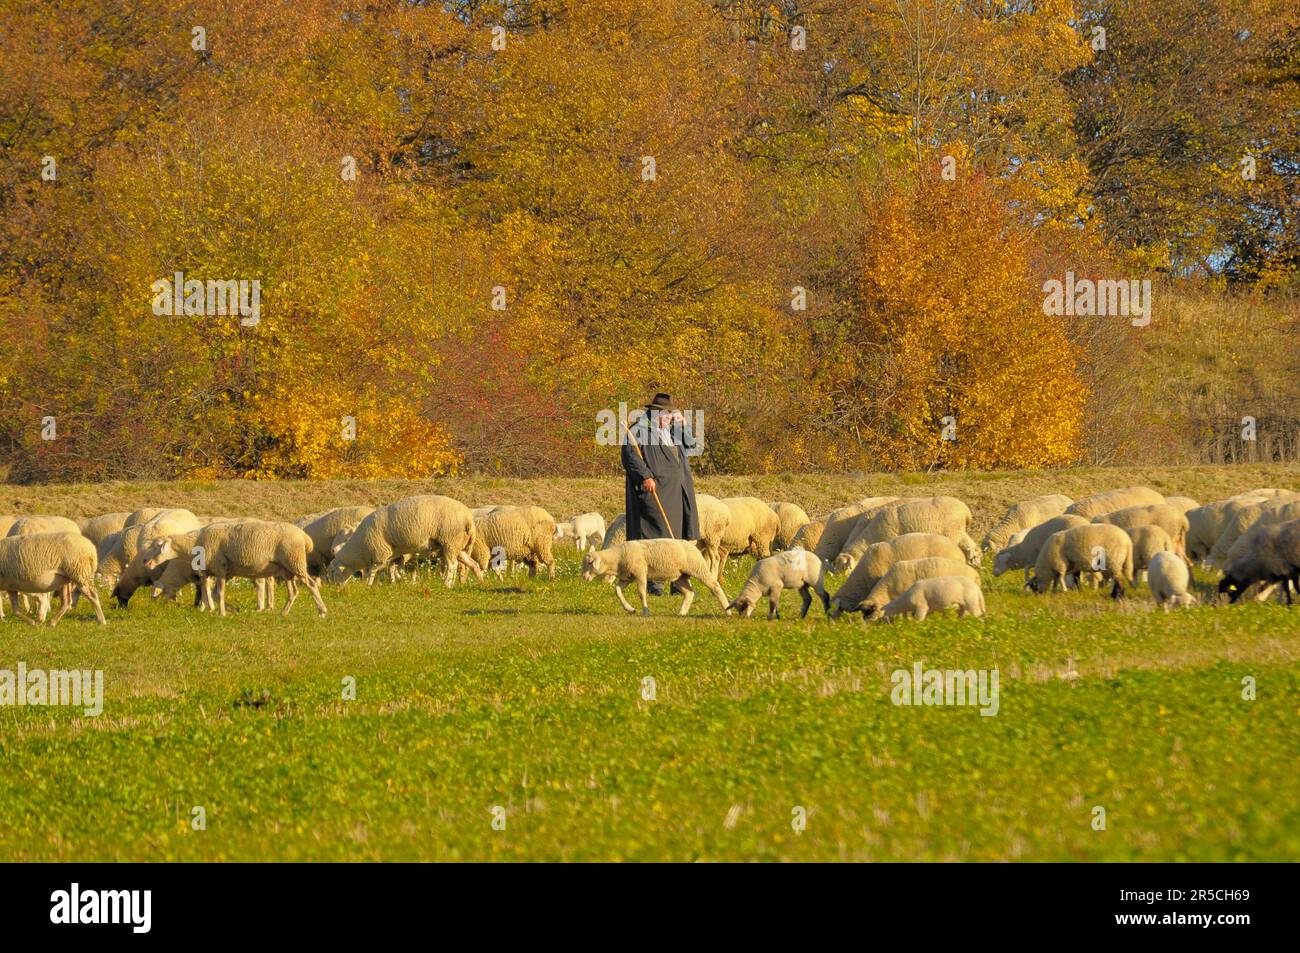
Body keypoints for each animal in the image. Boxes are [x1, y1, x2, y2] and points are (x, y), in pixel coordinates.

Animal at [326, 495, 481, 587]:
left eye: (333, 572)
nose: (333, 588)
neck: (359, 548)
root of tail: (469, 518)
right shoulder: (395, 554)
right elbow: (394, 568)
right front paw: (398, 582)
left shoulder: (380, 553)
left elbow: (373, 570)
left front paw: (368, 585)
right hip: (457, 545)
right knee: (472, 563)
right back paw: (479, 579)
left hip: (450, 540)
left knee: (452, 565)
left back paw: (448, 584)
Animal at [580, 539, 730, 616]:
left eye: (589, 563)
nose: (584, 577)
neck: (617, 557)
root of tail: (691, 544)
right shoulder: (628, 577)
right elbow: (617, 590)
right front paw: (630, 608)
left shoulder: (640, 572)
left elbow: (641, 593)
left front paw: (645, 611)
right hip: (680, 576)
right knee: (689, 593)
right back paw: (681, 613)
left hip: (698, 567)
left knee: (715, 586)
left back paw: (727, 610)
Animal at [848, 557, 981, 620]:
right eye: (863, 613)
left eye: (870, 612)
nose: (866, 630)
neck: (886, 588)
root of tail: (975, 574)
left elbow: (903, 613)